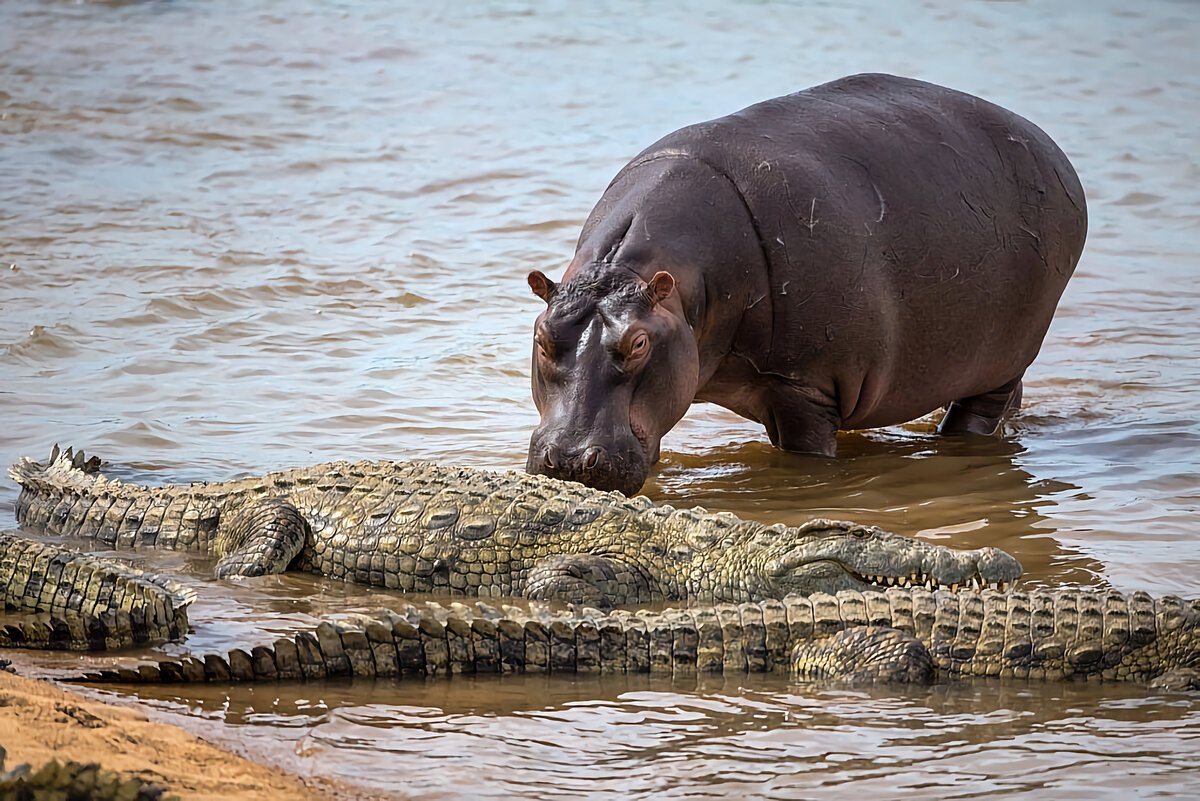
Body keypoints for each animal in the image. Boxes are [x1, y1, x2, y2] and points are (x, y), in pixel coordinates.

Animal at [525, 73, 1089, 494]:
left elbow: (806, 456)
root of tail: (1050, 146)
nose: (569, 460)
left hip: (1006, 355)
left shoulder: (805, 388)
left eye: (639, 343)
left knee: (978, 416)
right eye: (541, 335)